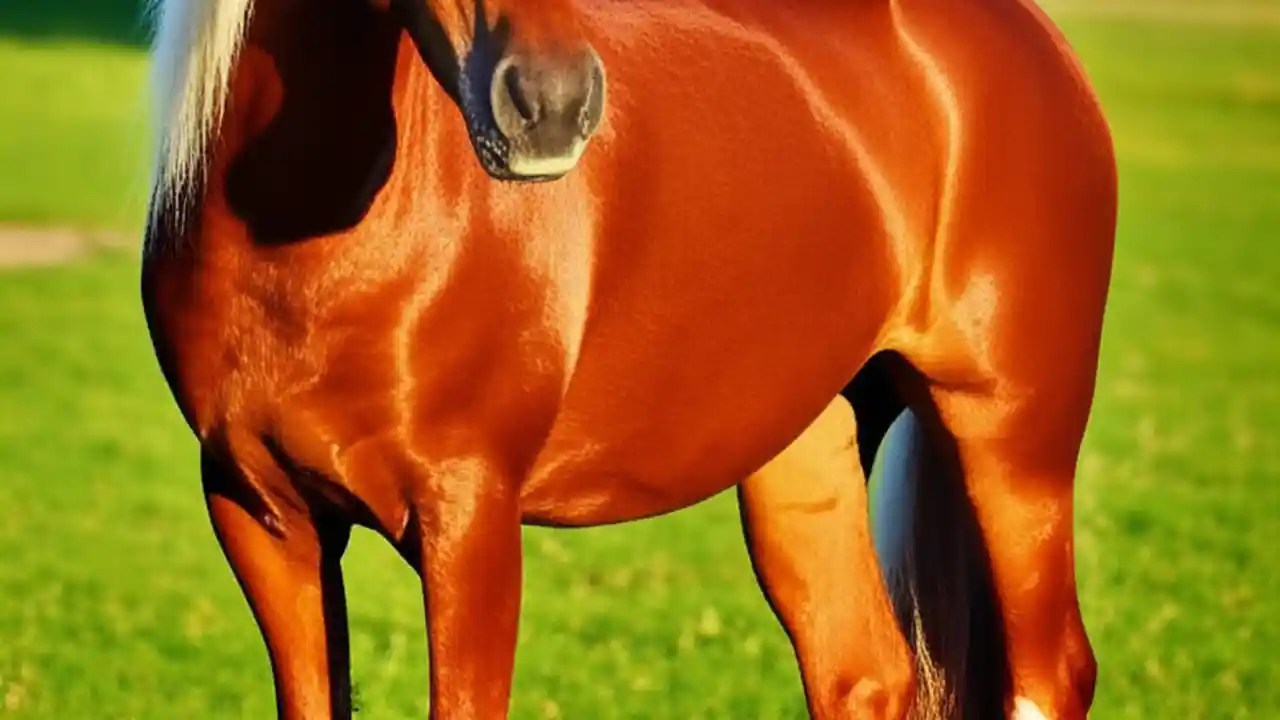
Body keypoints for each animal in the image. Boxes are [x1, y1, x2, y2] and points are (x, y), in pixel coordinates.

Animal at [139, 0, 1116, 717]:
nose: (554, 107)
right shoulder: (264, 516)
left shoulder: (471, 521)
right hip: (805, 453)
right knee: (865, 674)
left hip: (1013, 446)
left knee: (1051, 674)